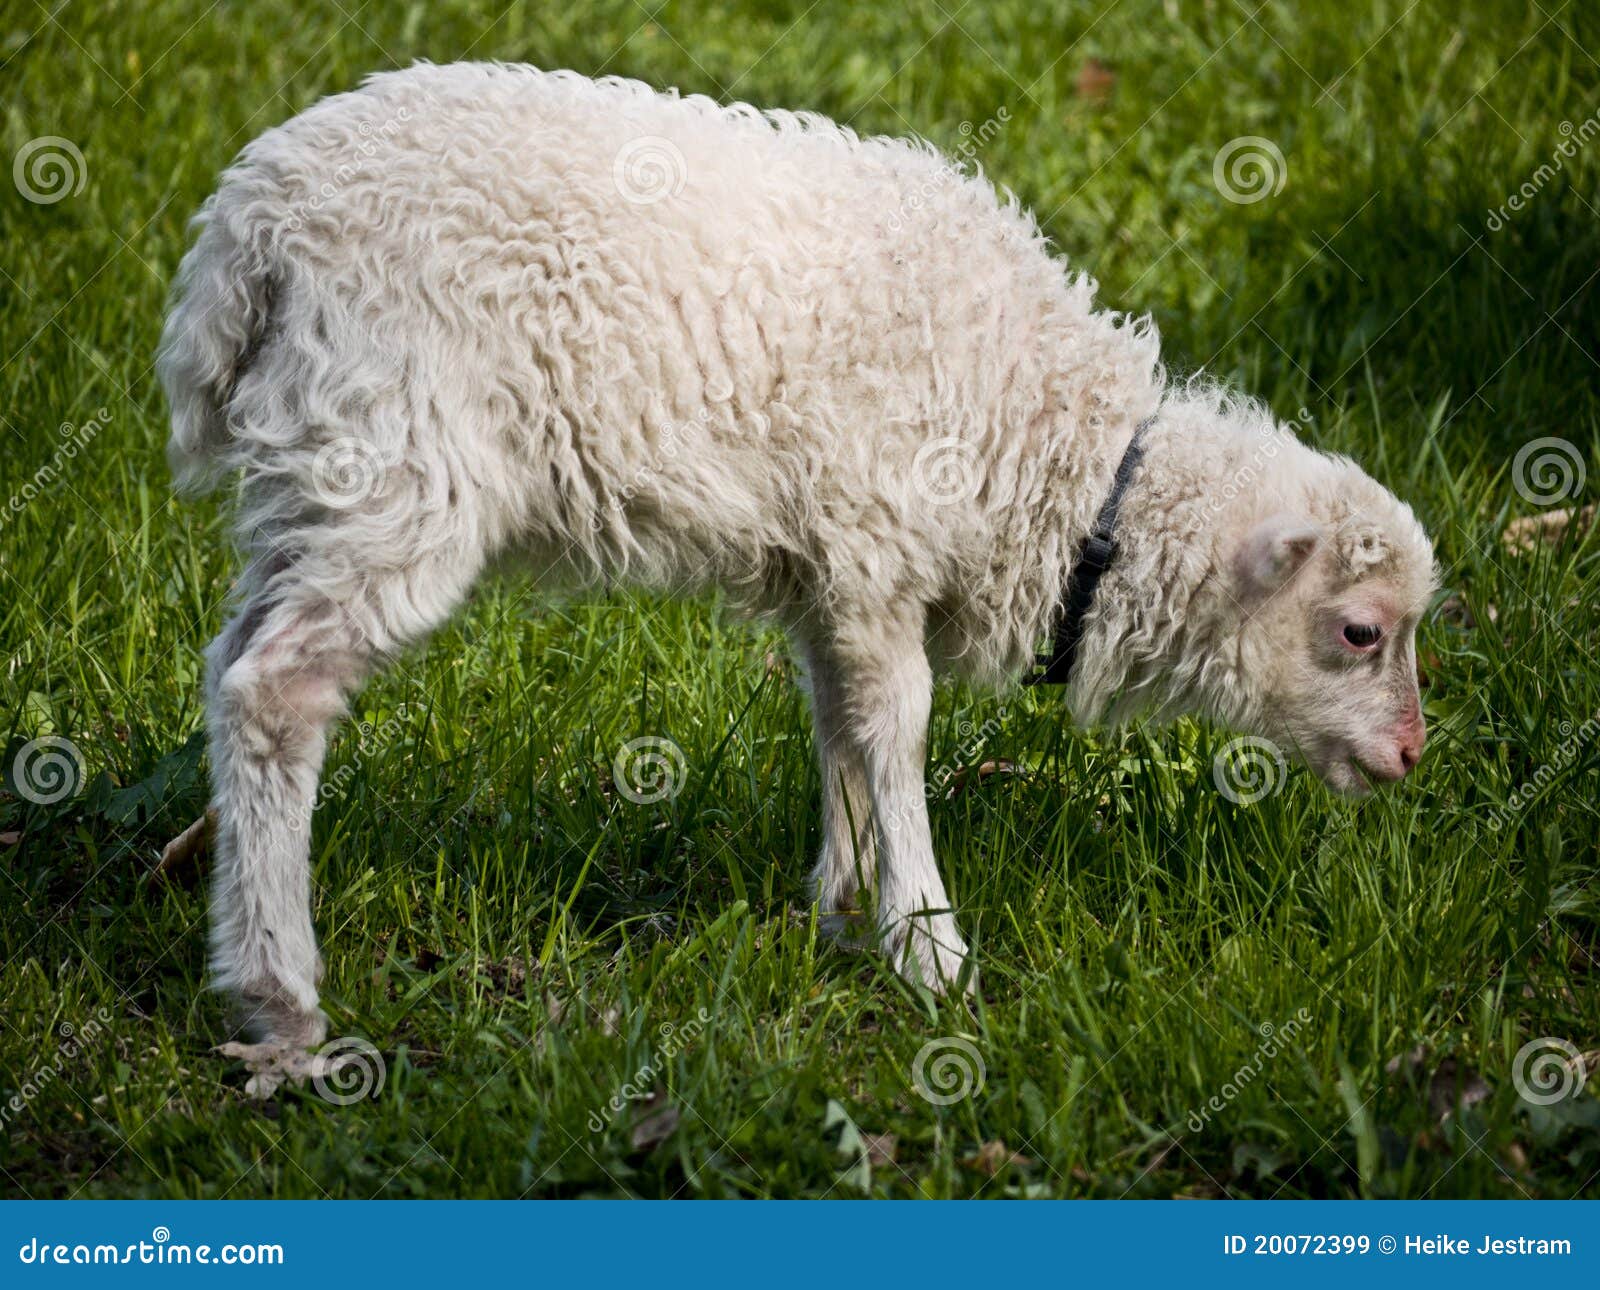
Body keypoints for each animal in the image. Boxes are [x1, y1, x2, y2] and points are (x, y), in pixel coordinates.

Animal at [158, 62, 1437, 1073]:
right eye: (1359, 630)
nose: (1412, 755)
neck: (1058, 462)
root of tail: (253, 226)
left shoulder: (834, 571)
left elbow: (838, 724)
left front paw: (841, 909)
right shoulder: (876, 540)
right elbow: (897, 728)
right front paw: (928, 947)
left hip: (319, 469)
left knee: (231, 665)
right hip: (399, 459)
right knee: (278, 692)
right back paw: (282, 998)